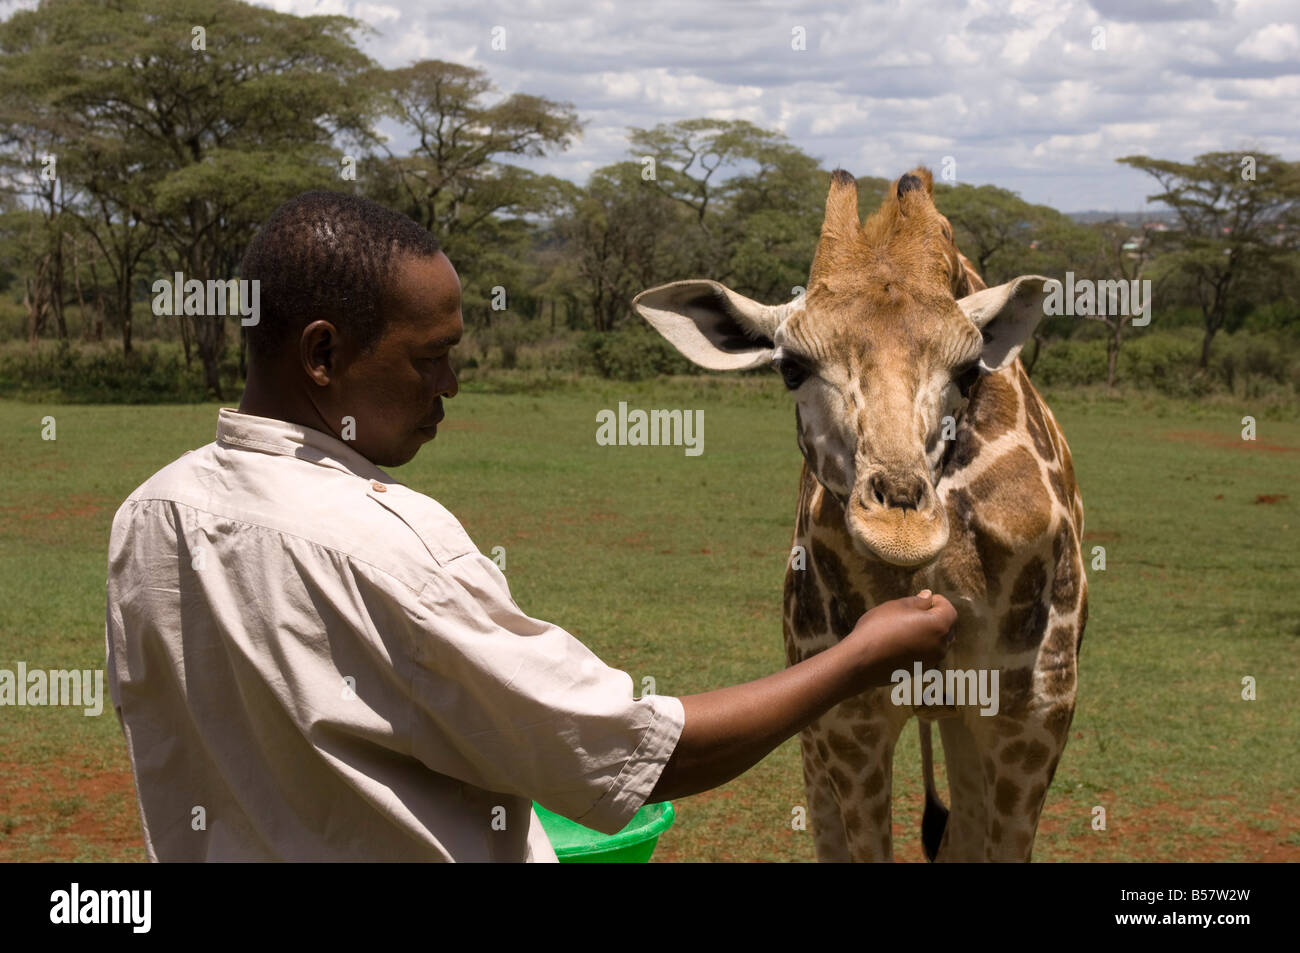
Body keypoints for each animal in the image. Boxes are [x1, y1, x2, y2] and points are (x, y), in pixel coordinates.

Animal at [632, 167, 1087, 862]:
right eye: (791, 368)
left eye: (967, 371)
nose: (900, 529)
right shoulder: (850, 716)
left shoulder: (1034, 713)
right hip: (812, 706)